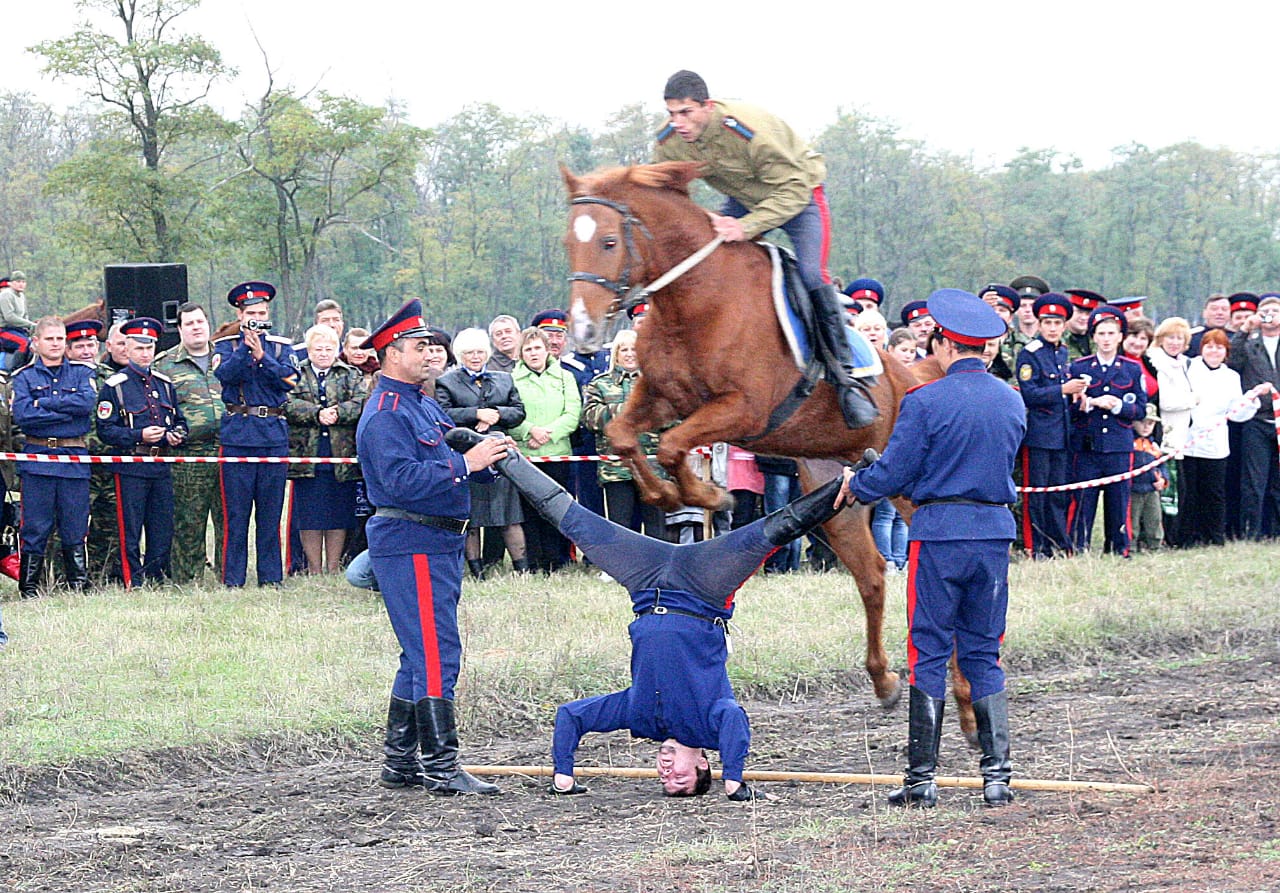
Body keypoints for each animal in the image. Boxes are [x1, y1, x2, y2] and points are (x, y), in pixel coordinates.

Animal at [560, 159, 977, 721]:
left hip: (908, 484)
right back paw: (885, 680)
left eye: (607, 241)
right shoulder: (660, 396)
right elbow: (623, 434)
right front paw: (670, 494)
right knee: (871, 574)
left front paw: (706, 495)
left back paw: (966, 701)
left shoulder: (741, 409)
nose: (583, 331)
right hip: (836, 486)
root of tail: (917, 377)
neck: (696, 300)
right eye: (569, 241)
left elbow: (670, 446)